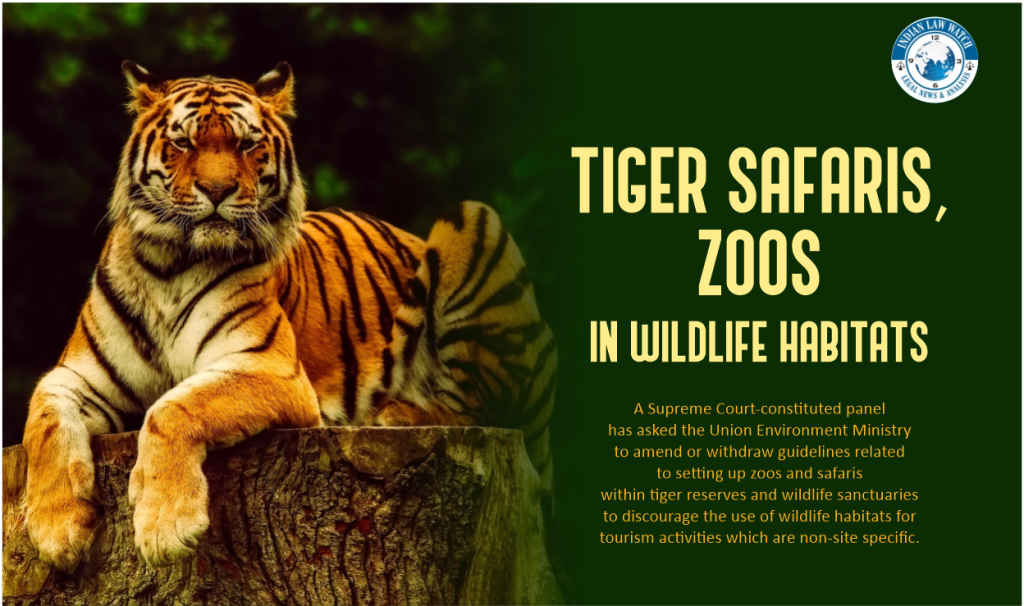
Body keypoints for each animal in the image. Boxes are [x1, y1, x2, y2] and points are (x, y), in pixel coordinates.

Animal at [21, 61, 557, 571]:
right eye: (183, 142)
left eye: (247, 143)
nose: (217, 189)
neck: (169, 266)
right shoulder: (77, 376)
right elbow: (43, 424)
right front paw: (56, 531)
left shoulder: (269, 367)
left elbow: (172, 408)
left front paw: (165, 528)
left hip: (475, 219)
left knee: (481, 406)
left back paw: (396, 412)